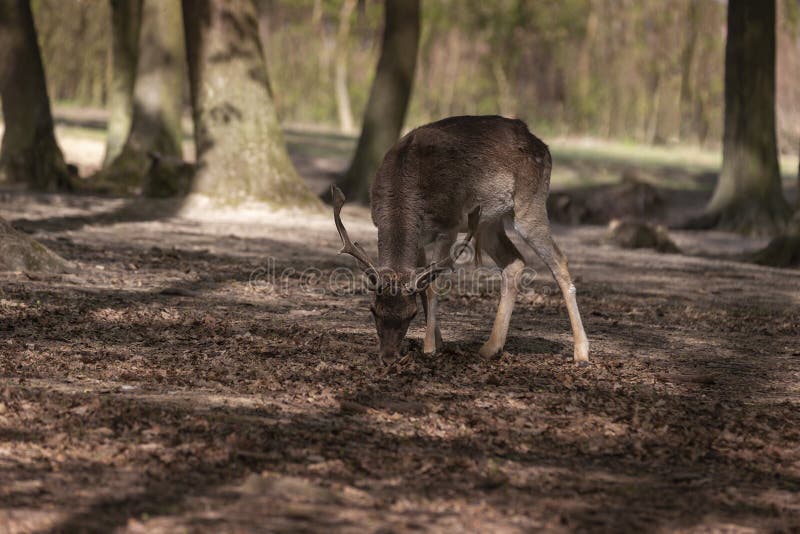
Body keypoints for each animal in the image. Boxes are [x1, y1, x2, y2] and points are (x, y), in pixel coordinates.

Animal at [332, 115, 589, 366]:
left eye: (411, 314)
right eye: (373, 309)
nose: (388, 358)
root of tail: (543, 146)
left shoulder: (449, 225)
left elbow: (433, 287)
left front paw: (430, 348)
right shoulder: (419, 240)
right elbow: (423, 286)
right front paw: (439, 341)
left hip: (530, 203)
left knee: (559, 261)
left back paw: (581, 353)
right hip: (488, 222)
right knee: (515, 261)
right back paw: (490, 348)